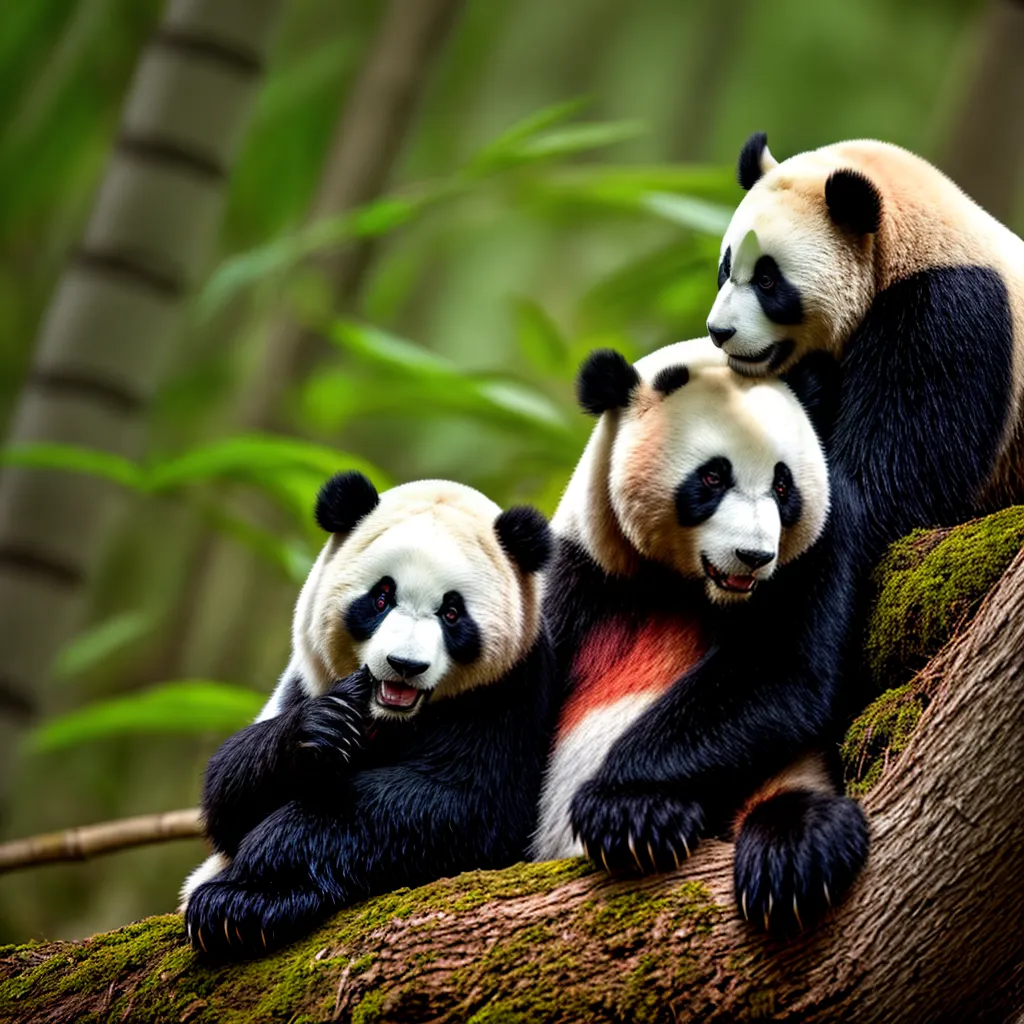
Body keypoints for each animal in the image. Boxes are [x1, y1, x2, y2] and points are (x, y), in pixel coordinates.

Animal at [181, 472, 556, 959]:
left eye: (452, 612)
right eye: (381, 597)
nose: (404, 665)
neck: (389, 720)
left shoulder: (509, 697)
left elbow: (455, 806)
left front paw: (243, 903)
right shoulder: (303, 684)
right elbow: (227, 799)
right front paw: (320, 728)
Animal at [532, 338, 868, 934]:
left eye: (783, 485)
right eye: (713, 478)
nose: (753, 556)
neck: (688, 587)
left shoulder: (821, 543)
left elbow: (776, 670)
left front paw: (625, 808)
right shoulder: (577, 571)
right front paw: (635, 819)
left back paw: (792, 851)